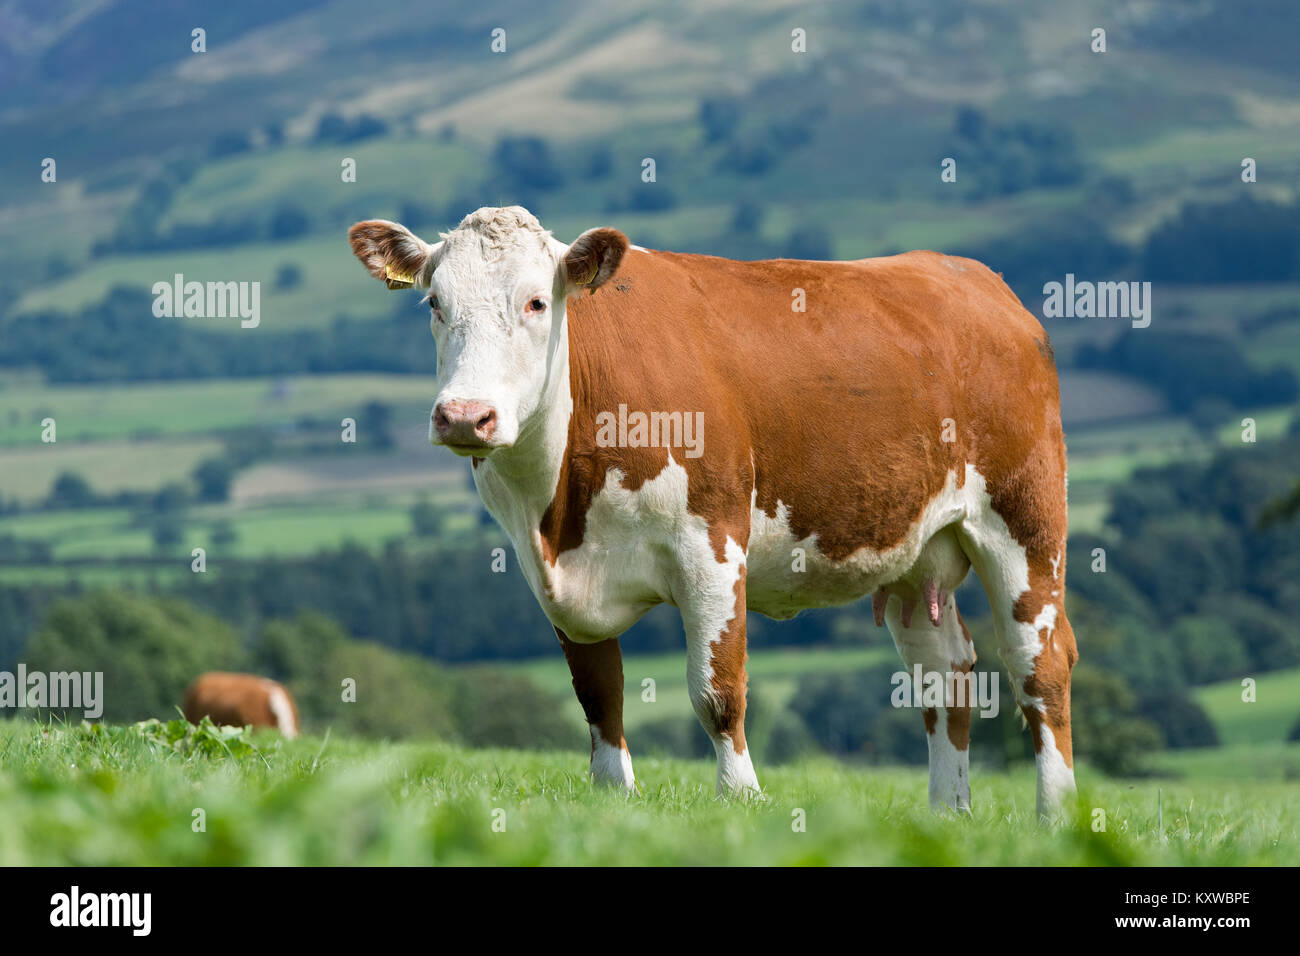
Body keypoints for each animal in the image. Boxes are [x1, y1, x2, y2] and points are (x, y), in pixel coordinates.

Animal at [348, 205, 1077, 818]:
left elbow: (717, 689)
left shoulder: (712, 546)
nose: (464, 416)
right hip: (915, 549)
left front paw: (742, 798)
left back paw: (1057, 813)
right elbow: (598, 694)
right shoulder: (554, 576)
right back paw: (948, 812)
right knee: (944, 671)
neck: (560, 506)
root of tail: (973, 277)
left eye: (535, 301)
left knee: (1039, 662)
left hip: (1024, 520)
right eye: (435, 303)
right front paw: (613, 799)